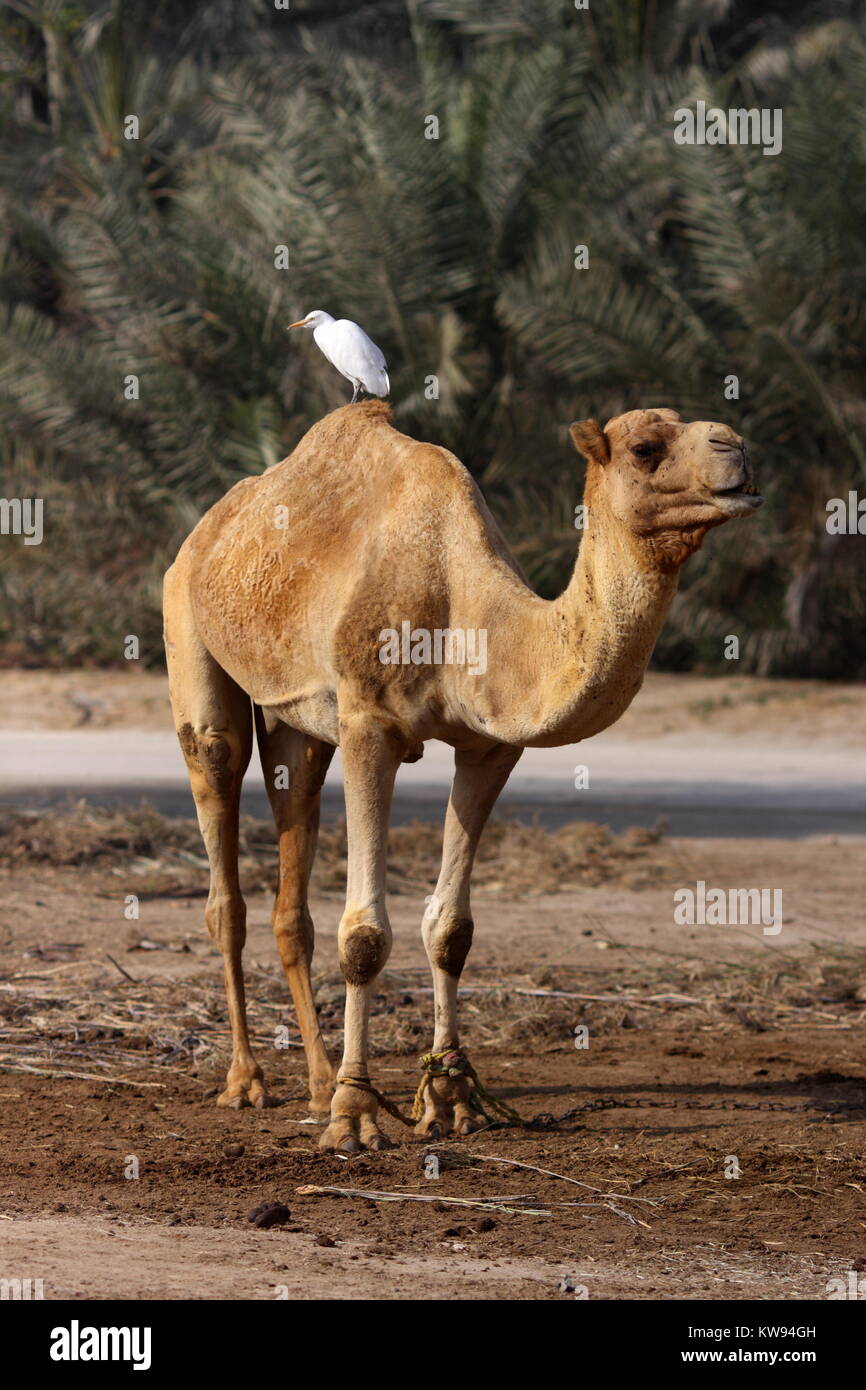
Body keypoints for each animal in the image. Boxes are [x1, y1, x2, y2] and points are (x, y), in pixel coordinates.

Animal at [163, 401, 761, 1152]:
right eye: (646, 448)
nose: (737, 448)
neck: (464, 607)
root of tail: (207, 530)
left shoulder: (489, 746)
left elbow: (451, 931)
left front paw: (450, 1100)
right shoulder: (369, 725)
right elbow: (364, 936)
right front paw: (355, 1115)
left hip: (295, 721)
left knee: (290, 864)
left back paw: (318, 1081)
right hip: (189, 636)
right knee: (223, 855)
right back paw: (248, 1082)